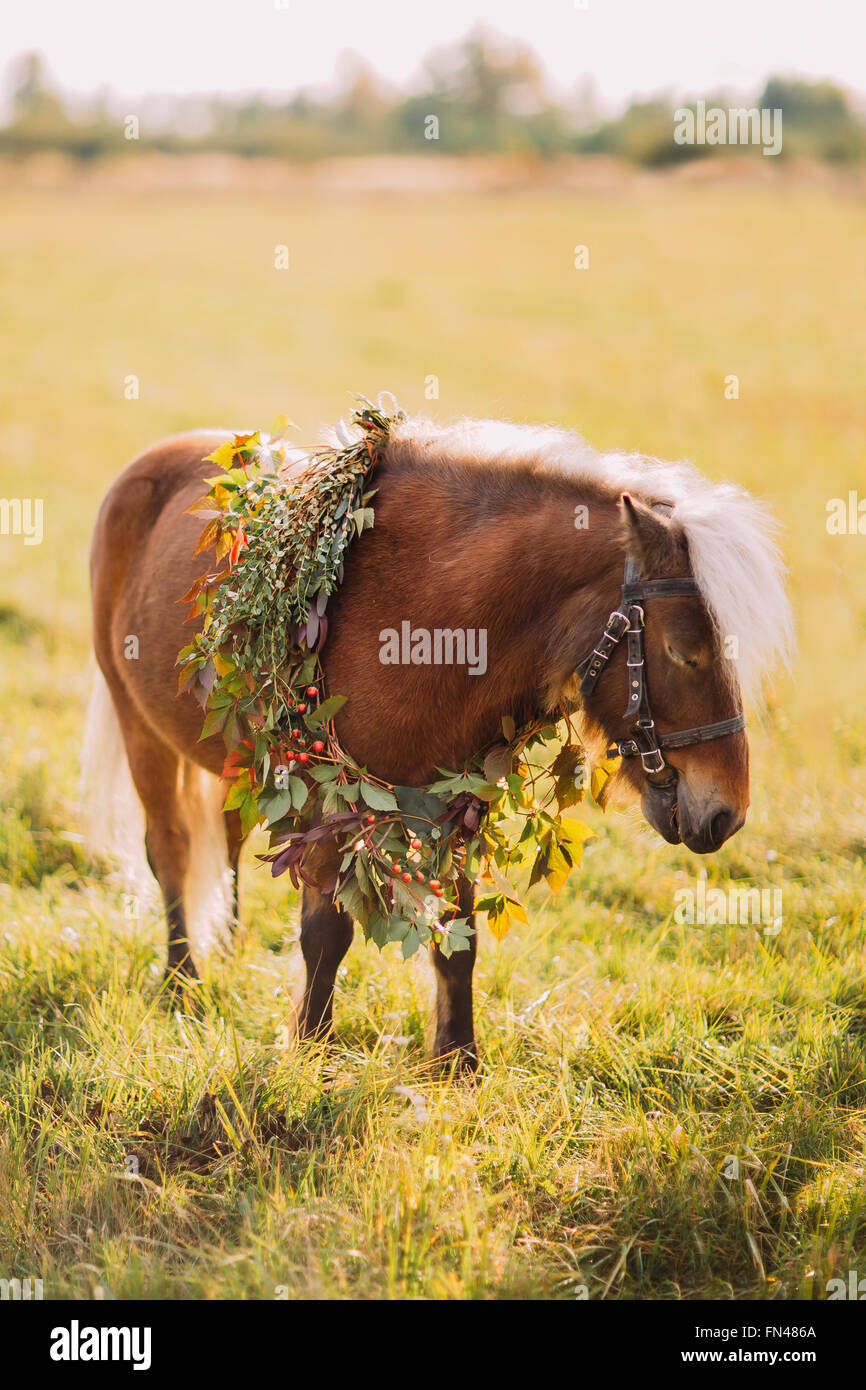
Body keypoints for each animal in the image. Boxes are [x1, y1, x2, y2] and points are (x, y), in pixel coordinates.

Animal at [84, 413, 792, 1069]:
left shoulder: (453, 801)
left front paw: (458, 1062)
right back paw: (182, 981)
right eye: (685, 651)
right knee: (171, 852)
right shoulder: (323, 798)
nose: (726, 814)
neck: (423, 616)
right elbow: (326, 934)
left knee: (226, 840)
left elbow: (459, 936)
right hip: (142, 731)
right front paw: (312, 1054)